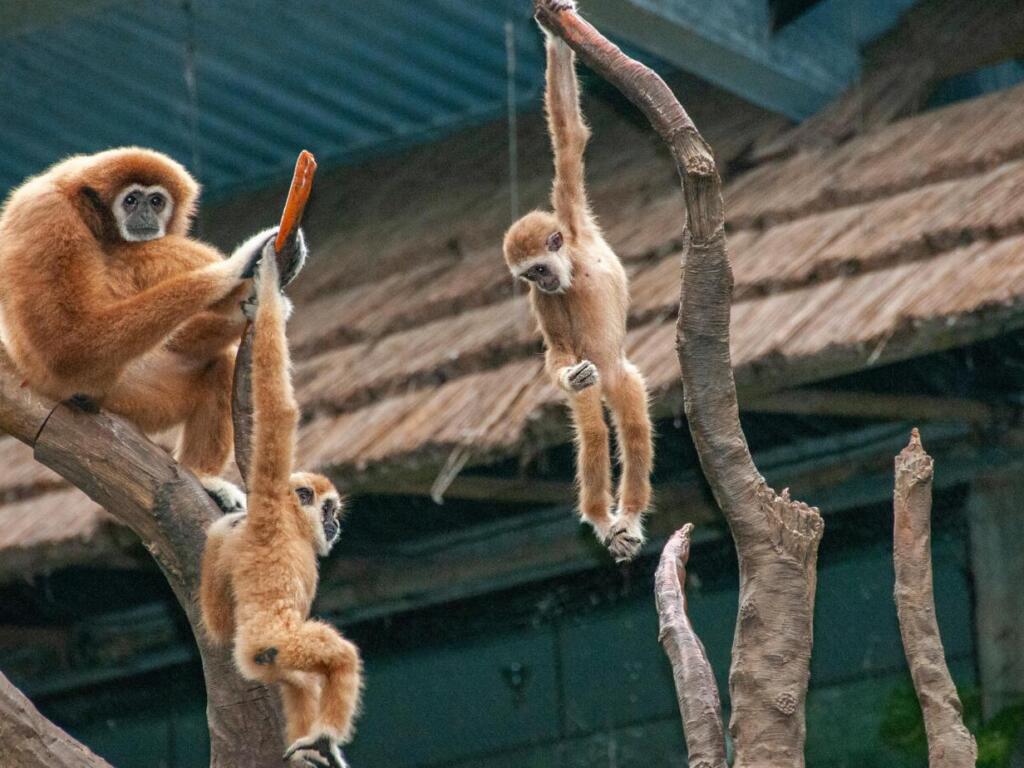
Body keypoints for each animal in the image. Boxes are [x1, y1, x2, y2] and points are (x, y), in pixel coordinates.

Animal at [0, 147, 295, 512]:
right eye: (130, 200)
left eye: (156, 201)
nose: (144, 213)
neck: (83, 209)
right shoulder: (45, 216)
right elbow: (65, 345)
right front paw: (237, 268)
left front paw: (253, 302)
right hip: (91, 385)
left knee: (217, 361)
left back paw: (203, 478)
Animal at [199, 249, 362, 768]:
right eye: (328, 510)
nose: (333, 525)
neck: (288, 520)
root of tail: (254, 653)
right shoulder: (269, 491)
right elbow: (275, 410)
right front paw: (268, 285)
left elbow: (216, 622)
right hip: (278, 643)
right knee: (337, 655)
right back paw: (326, 737)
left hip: (265, 658)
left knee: (296, 682)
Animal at [502, 7, 654, 563]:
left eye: (539, 269)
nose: (544, 283)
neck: (574, 262)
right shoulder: (544, 305)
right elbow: (559, 354)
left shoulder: (571, 213)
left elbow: (568, 135)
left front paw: (554, 32)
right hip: (594, 382)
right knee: (591, 427)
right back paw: (602, 519)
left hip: (618, 375)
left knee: (631, 421)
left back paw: (628, 515)